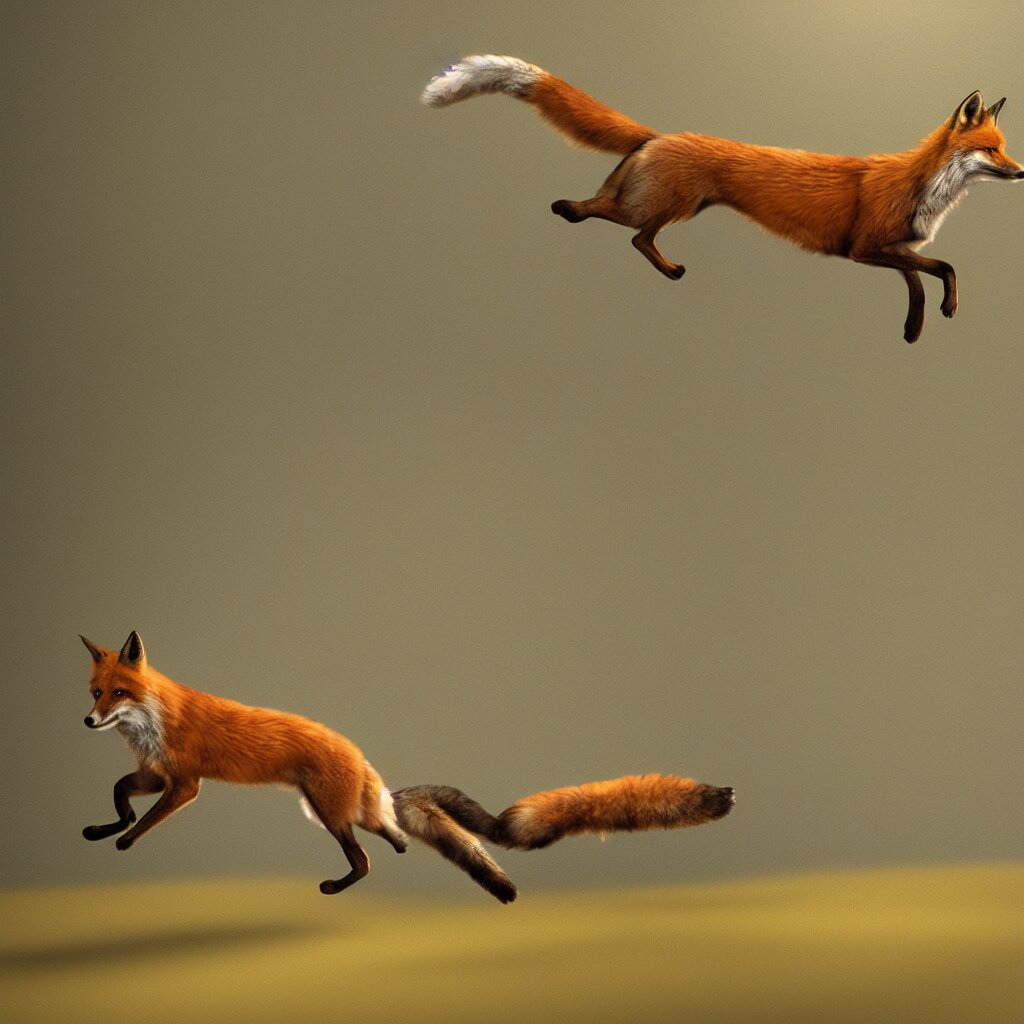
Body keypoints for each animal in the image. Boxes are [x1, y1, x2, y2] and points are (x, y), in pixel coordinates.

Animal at [80, 632, 734, 903]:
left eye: (117, 693)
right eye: (93, 692)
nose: (86, 722)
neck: (152, 719)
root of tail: (360, 754)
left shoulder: (185, 784)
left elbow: (142, 816)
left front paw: (123, 841)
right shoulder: (156, 774)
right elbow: (117, 791)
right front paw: (104, 828)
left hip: (328, 813)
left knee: (373, 854)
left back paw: (343, 882)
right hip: (334, 811)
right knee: (392, 835)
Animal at [422, 55, 1024, 343]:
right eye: (991, 150)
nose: (1021, 172)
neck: (924, 187)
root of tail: (661, 134)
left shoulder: (890, 251)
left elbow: (921, 280)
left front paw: (915, 328)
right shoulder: (864, 248)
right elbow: (943, 267)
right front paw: (943, 309)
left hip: (668, 207)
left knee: (632, 232)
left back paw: (660, 266)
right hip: (664, 205)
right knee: (610, 219)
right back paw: (572, 214)